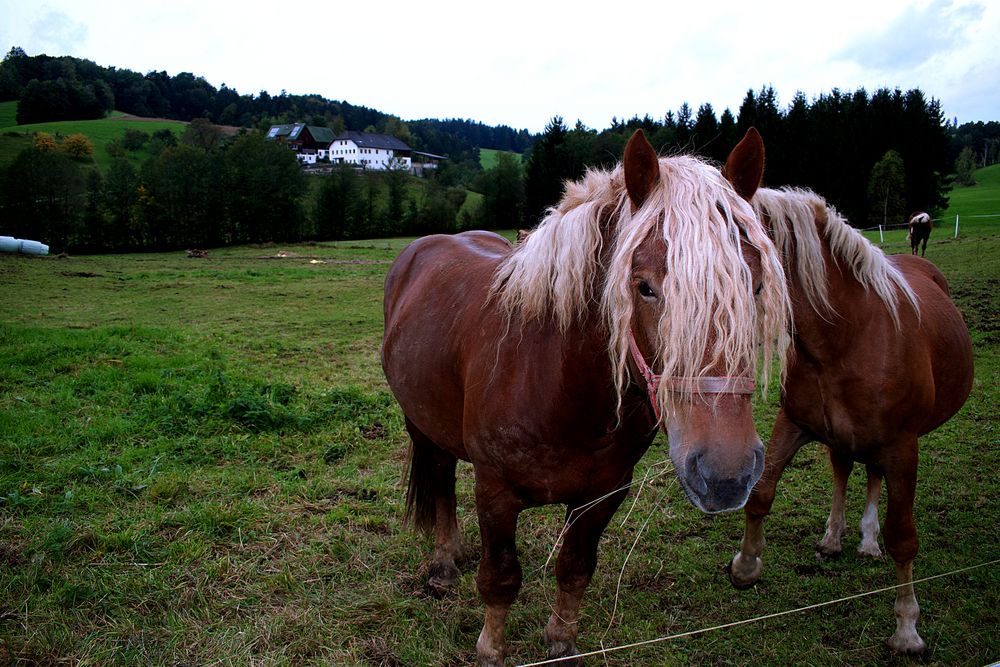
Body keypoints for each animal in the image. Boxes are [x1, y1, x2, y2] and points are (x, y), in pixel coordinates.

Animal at [382, 128, 790, 666]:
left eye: (756, 284)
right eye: (644, 287)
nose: (727, 475)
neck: (560, 384)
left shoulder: (605, 493)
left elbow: (575, 567)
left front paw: (561, 640)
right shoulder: (495, 491)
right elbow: (500, 579)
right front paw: (491, 648)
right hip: (422, 426)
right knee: (442, 483)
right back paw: (445, 562)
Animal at [726, 186, 974, 654]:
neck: (847, 335)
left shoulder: (902, 446)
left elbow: (903, 536)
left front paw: (907, 628)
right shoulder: (794, 423)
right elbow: (762, 494)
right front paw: (746, 566)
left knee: (873, 480)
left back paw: (868, 539)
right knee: (846, 471)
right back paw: (834, 538)